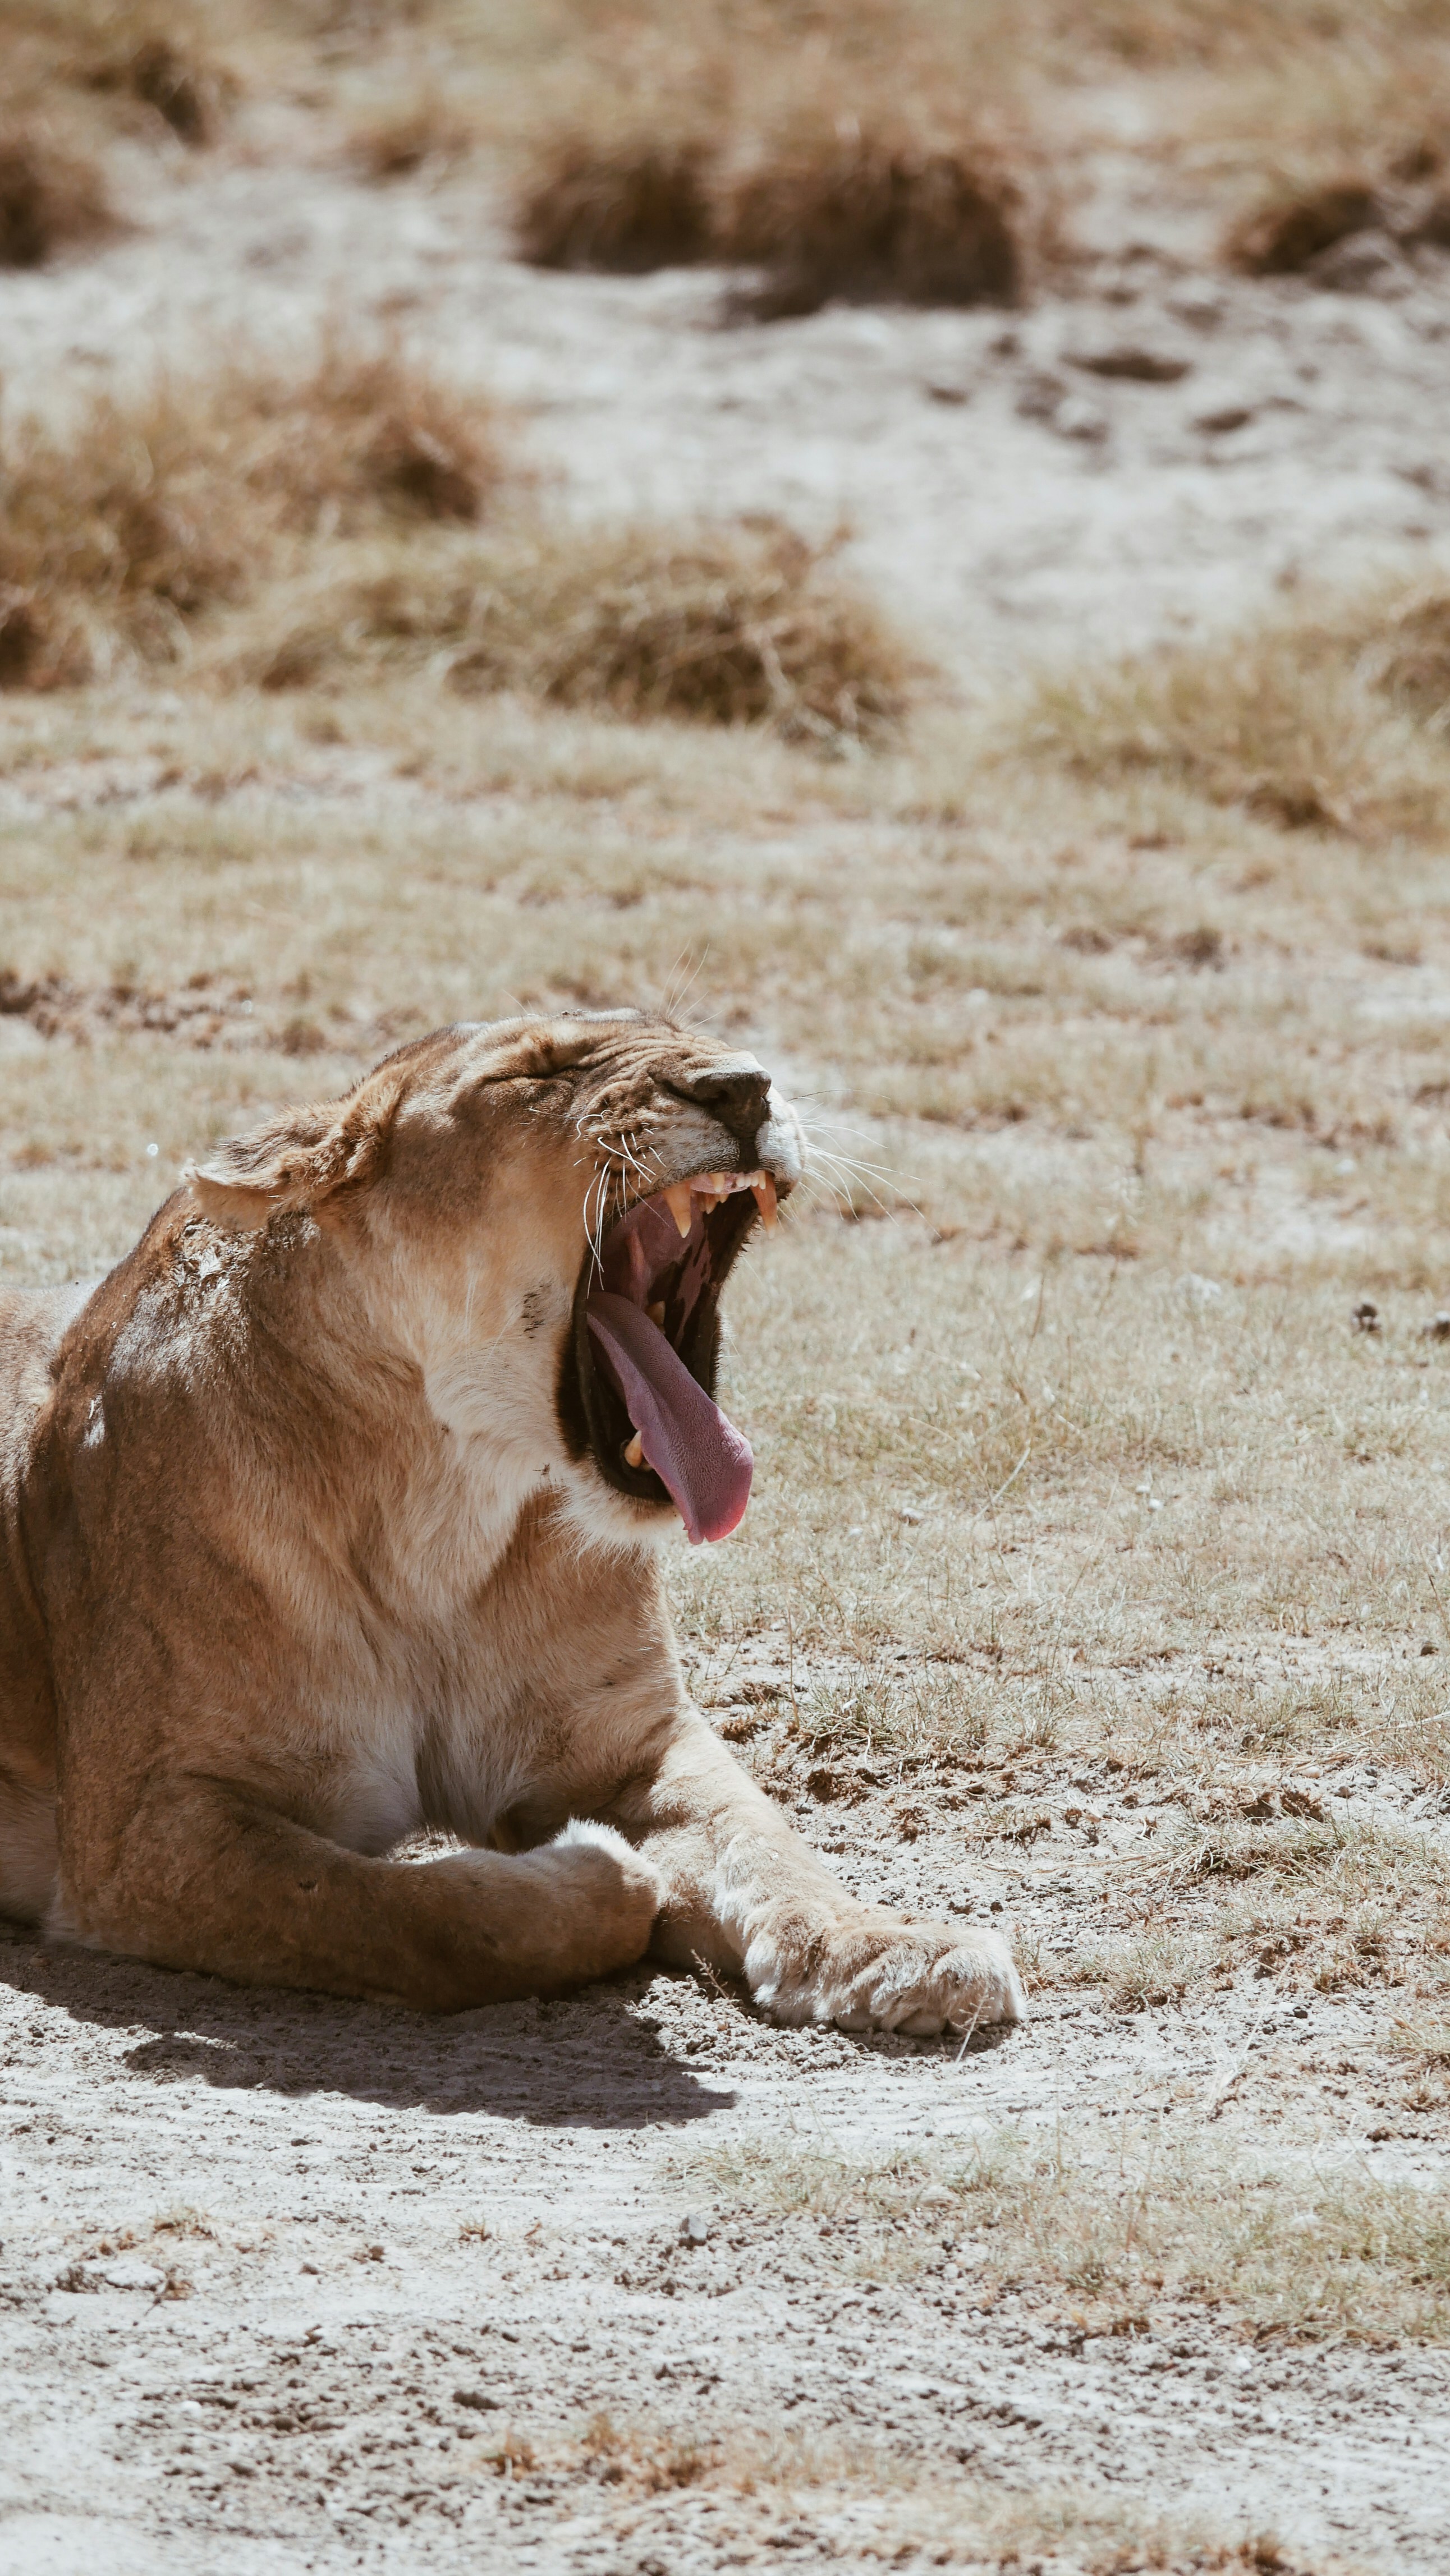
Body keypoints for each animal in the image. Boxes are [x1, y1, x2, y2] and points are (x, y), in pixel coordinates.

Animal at [0, 1012, 1023, 2038]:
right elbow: (417, 1915)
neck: (442, 1513)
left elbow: (765, 1842)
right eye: (536, 1073)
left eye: (694, 1034)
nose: (745, 1086)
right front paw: (598, 1870)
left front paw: (888, 1946)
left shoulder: (635, 1737)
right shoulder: (143, 1831)